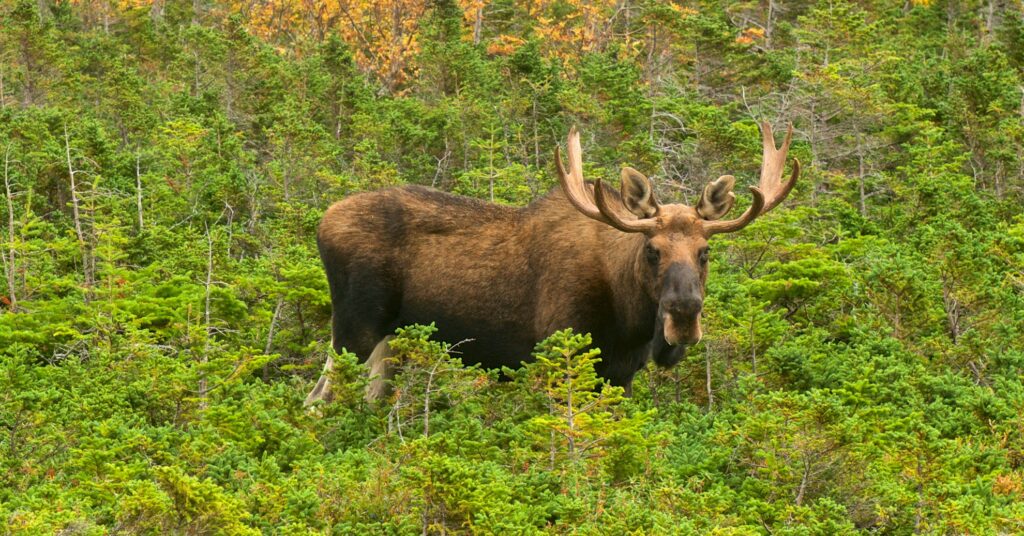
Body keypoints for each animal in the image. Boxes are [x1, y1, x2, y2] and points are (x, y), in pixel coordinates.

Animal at [305, 123, 798, 405]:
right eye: (652, 249)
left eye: (705, 252)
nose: (683, 314)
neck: (629, 320)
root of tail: (322, 221)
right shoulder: (562, 357)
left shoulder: (620, 375)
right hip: (353, 329)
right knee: (319, 399)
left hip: (388, 343)